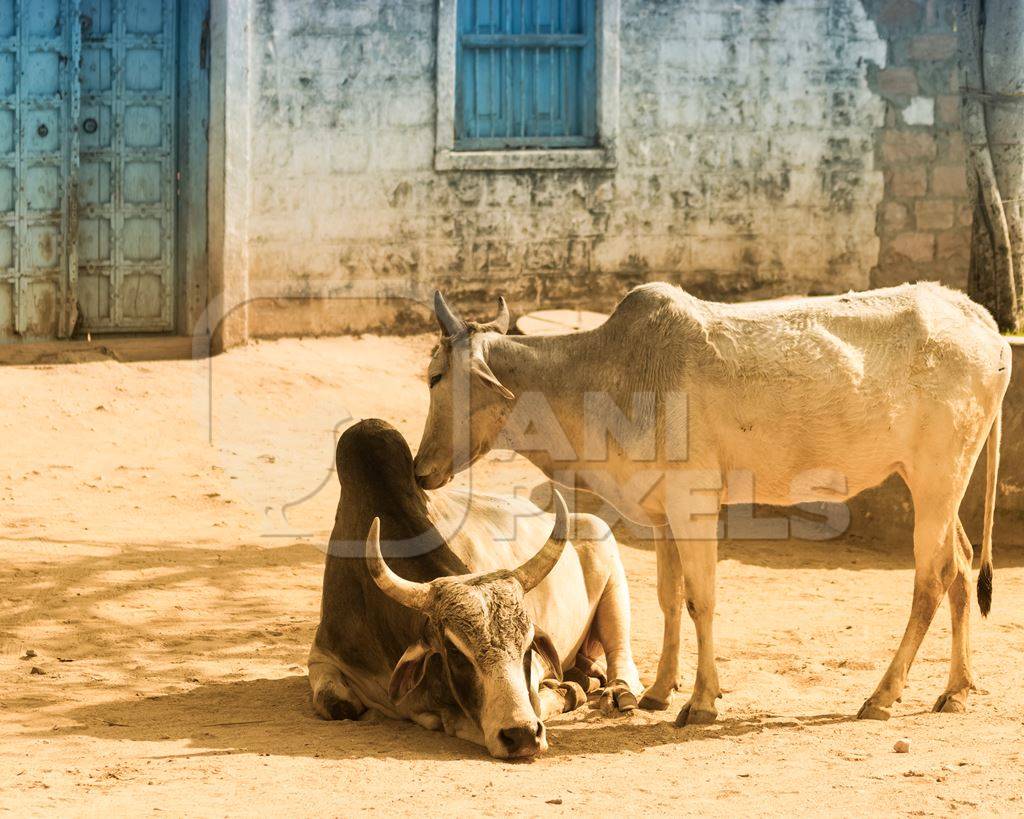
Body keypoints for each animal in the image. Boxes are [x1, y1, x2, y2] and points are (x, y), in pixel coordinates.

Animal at [307, 419, 642, 759]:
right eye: (455, 653)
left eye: (527, 647)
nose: (521, 735)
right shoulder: (323, 654)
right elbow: (338, 705)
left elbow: (538, 699)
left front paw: (569, 689)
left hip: (608, 559)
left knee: (621, 656)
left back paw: (617, 691)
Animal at [412, 283, 1011, 726]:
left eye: (436, 376)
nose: (420, 470)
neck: (602, 376)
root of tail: (987, 328)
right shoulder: (662, 514)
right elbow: (669, 598)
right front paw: (658, 691)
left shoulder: (693, 501)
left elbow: (702, 599)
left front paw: (700, 702)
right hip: (939, 484)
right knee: (961, 567)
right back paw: (957, 690)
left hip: (936, 479)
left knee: (932, 579)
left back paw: (883, 696)